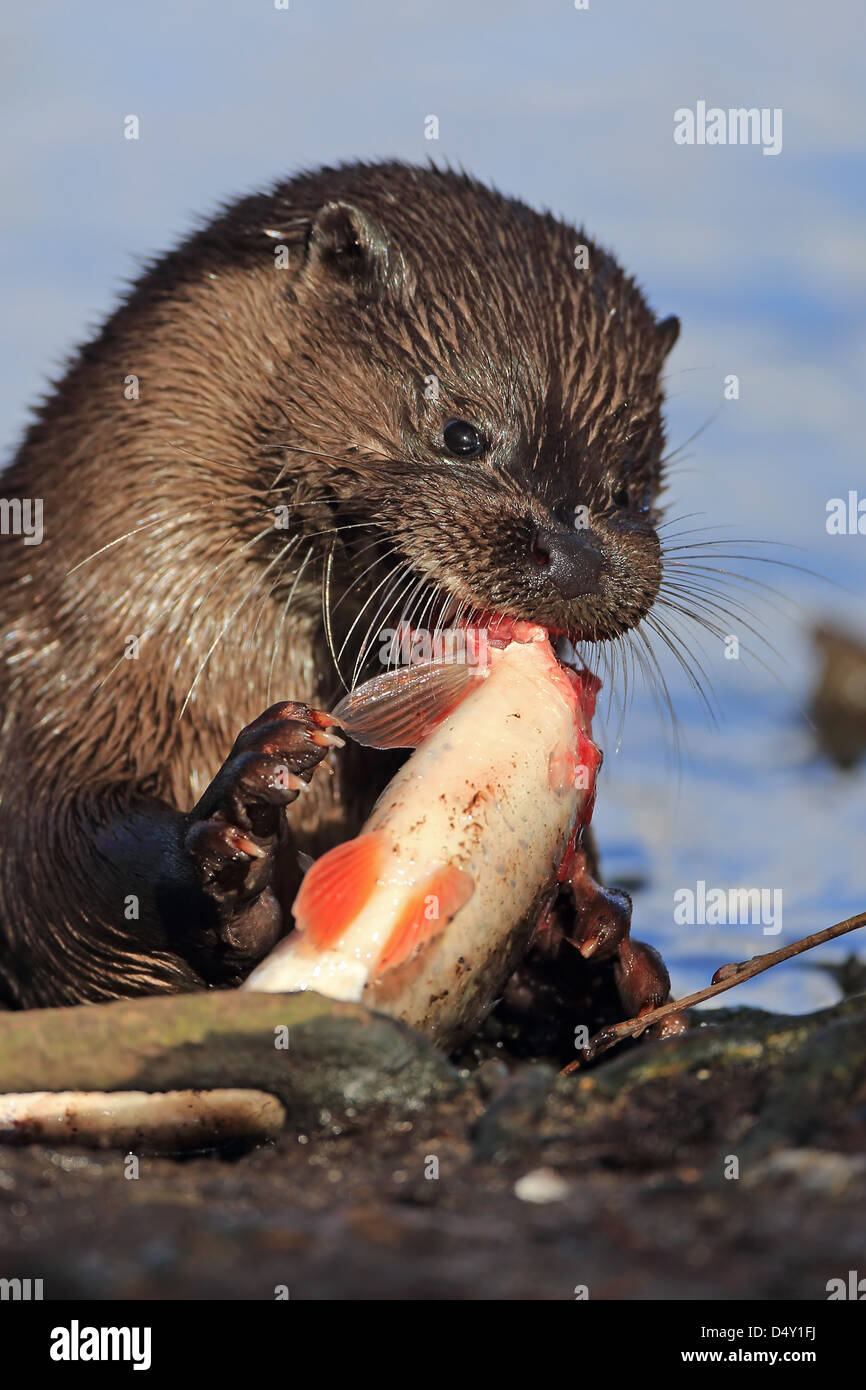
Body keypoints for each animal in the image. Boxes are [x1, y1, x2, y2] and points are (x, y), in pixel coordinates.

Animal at [0, 160, 681, 1017]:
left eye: (632, 487)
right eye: (463, 434)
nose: (579, 557)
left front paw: (591, 944)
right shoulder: (51, 709)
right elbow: (52, 878)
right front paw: (238, 826)